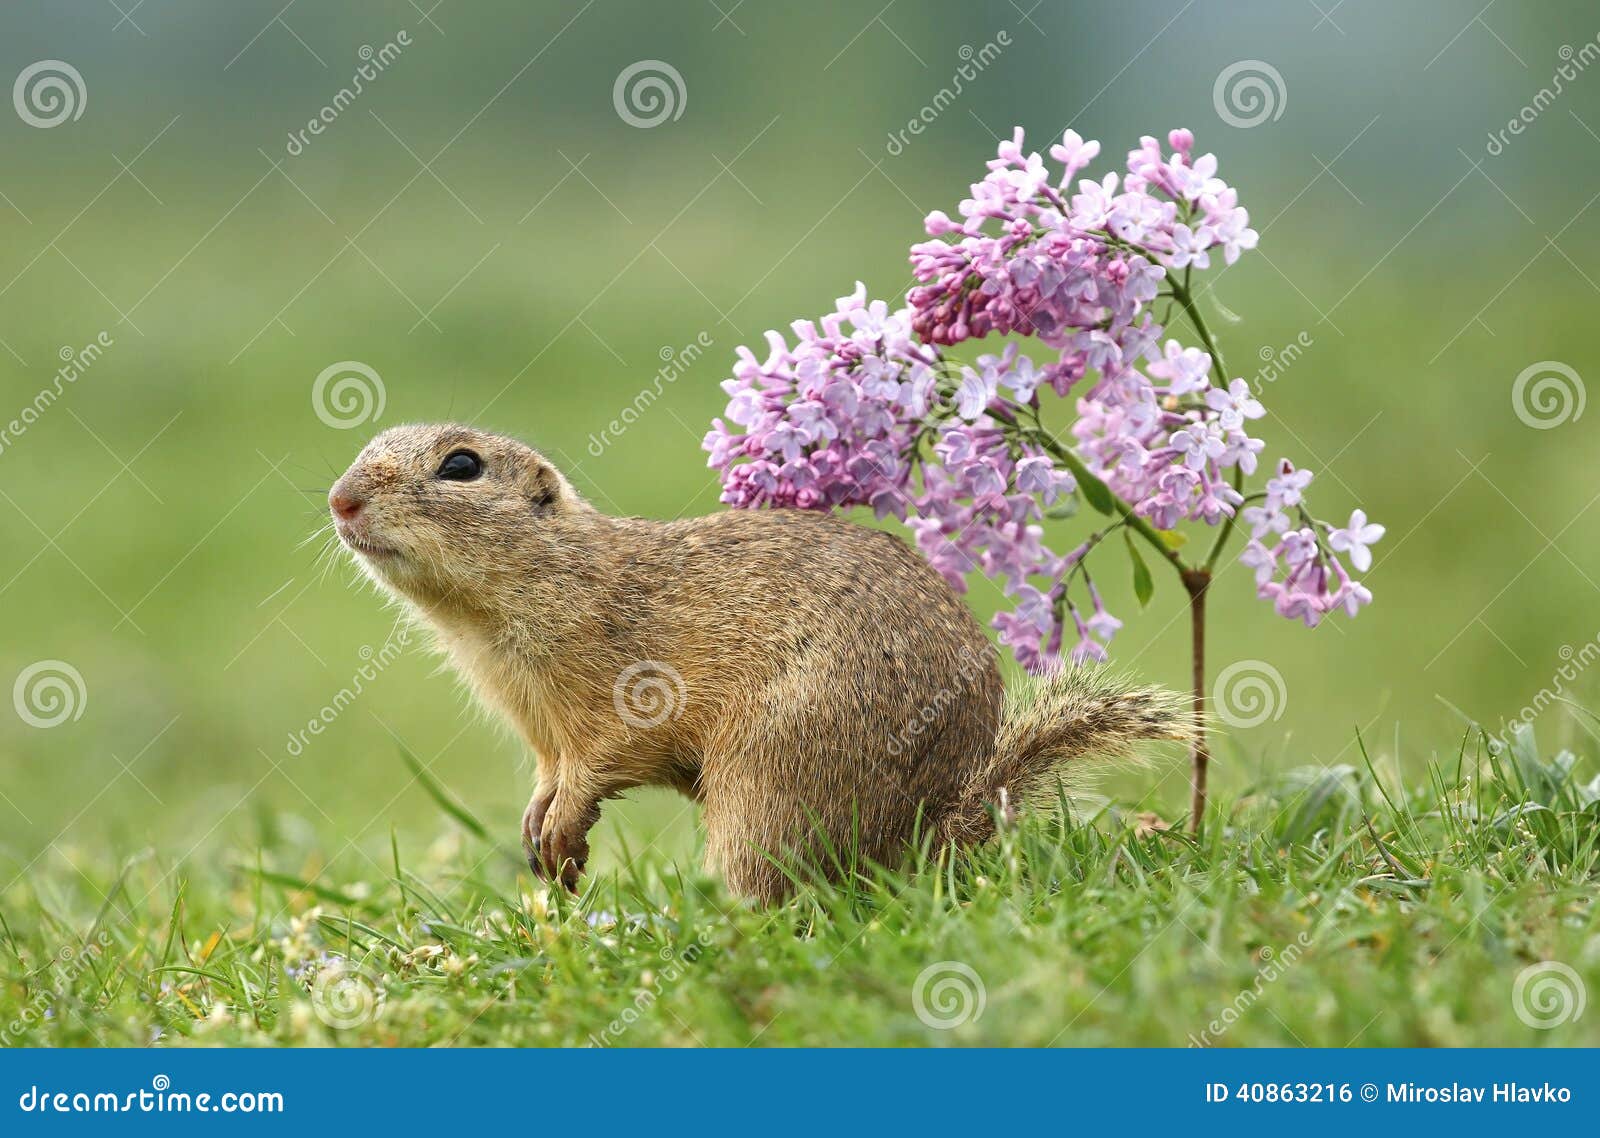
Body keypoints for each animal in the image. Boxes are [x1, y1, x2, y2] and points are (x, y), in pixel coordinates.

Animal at [329, 423, 1187, 903]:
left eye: (461, 466)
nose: (339, 499)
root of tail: (931, 831)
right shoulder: (544, 732)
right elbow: (550, 775)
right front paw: (539, 827)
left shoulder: (622, 696)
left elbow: (605, 761)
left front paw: (566, 832)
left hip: (768, 780)